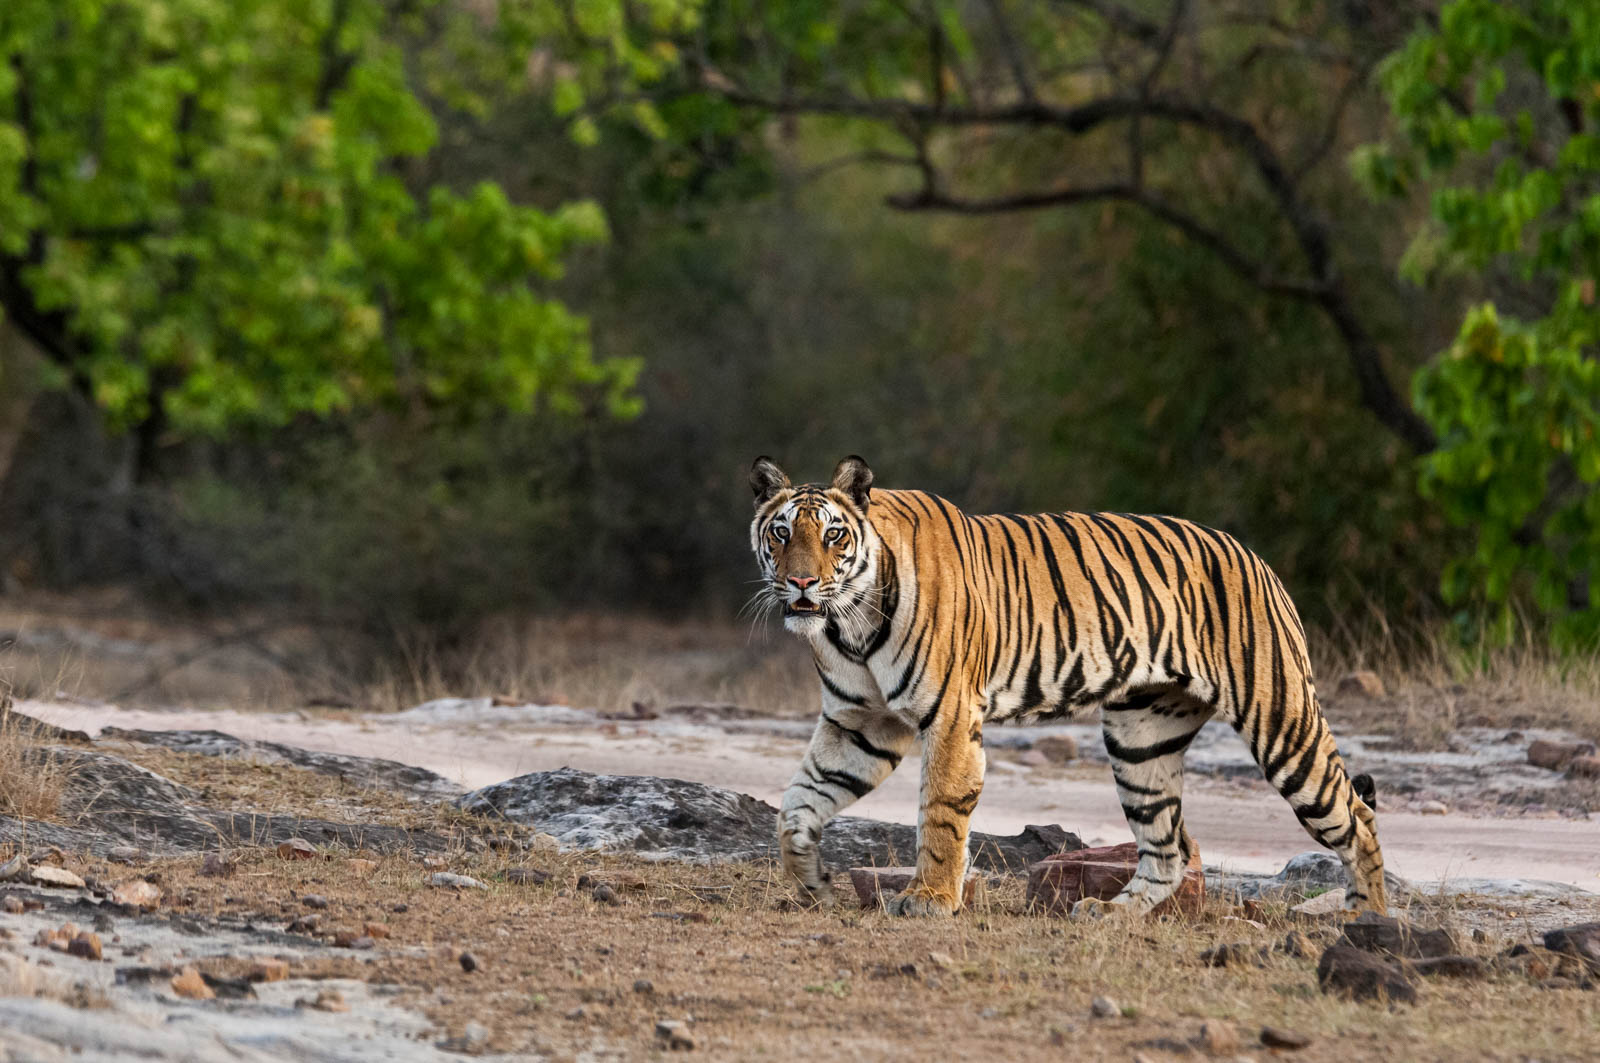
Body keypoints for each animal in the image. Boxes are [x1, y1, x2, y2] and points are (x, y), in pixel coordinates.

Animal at [748, 454, 1386, 918]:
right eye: (781, 534)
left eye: (833, 536)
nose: (801, 582)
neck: (848, 624)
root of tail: (1256, 557)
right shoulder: (862, 724)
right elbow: (797, 806)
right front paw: (815, 887)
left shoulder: (950, 717)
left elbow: (941, 813)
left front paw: (928, 901)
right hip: (1141, 739)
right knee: (1169, 848)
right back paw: (1110, 914)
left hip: (1282, 725)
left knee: (1357, 815)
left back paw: (1368, 919)